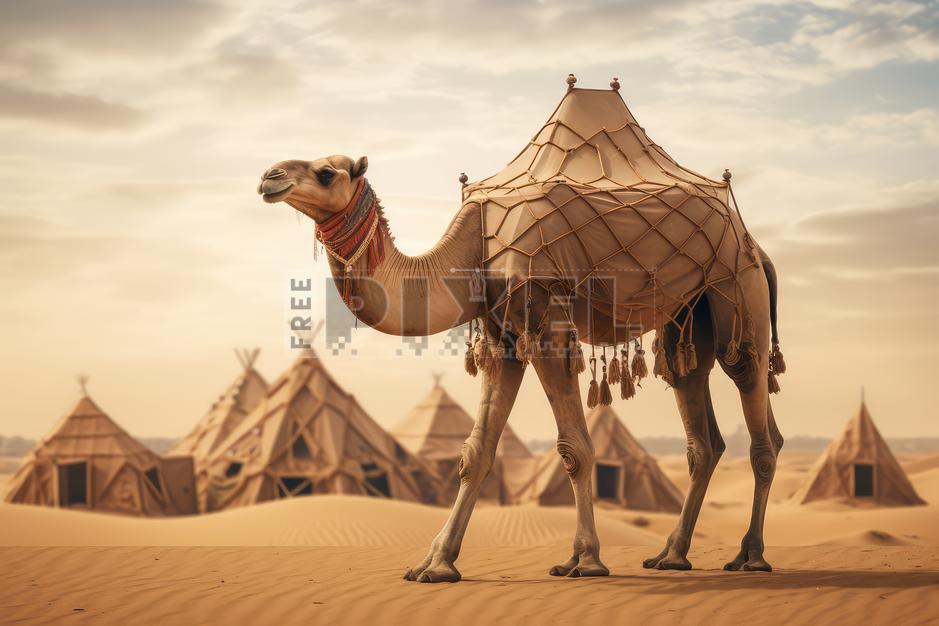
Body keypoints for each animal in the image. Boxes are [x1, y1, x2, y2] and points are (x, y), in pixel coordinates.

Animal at [257, 76, 786, 582]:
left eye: (326, 172)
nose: (268, 176)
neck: (471, 245)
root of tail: (758, 249)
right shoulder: (503, 339)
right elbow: (475, 452)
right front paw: (436, 565)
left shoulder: (546, 324)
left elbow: (575, 449)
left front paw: (586, 560)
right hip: (688, 317)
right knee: (697, 417)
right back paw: (671, 555)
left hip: (740, 292)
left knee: (754, 400)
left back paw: (751, 556)